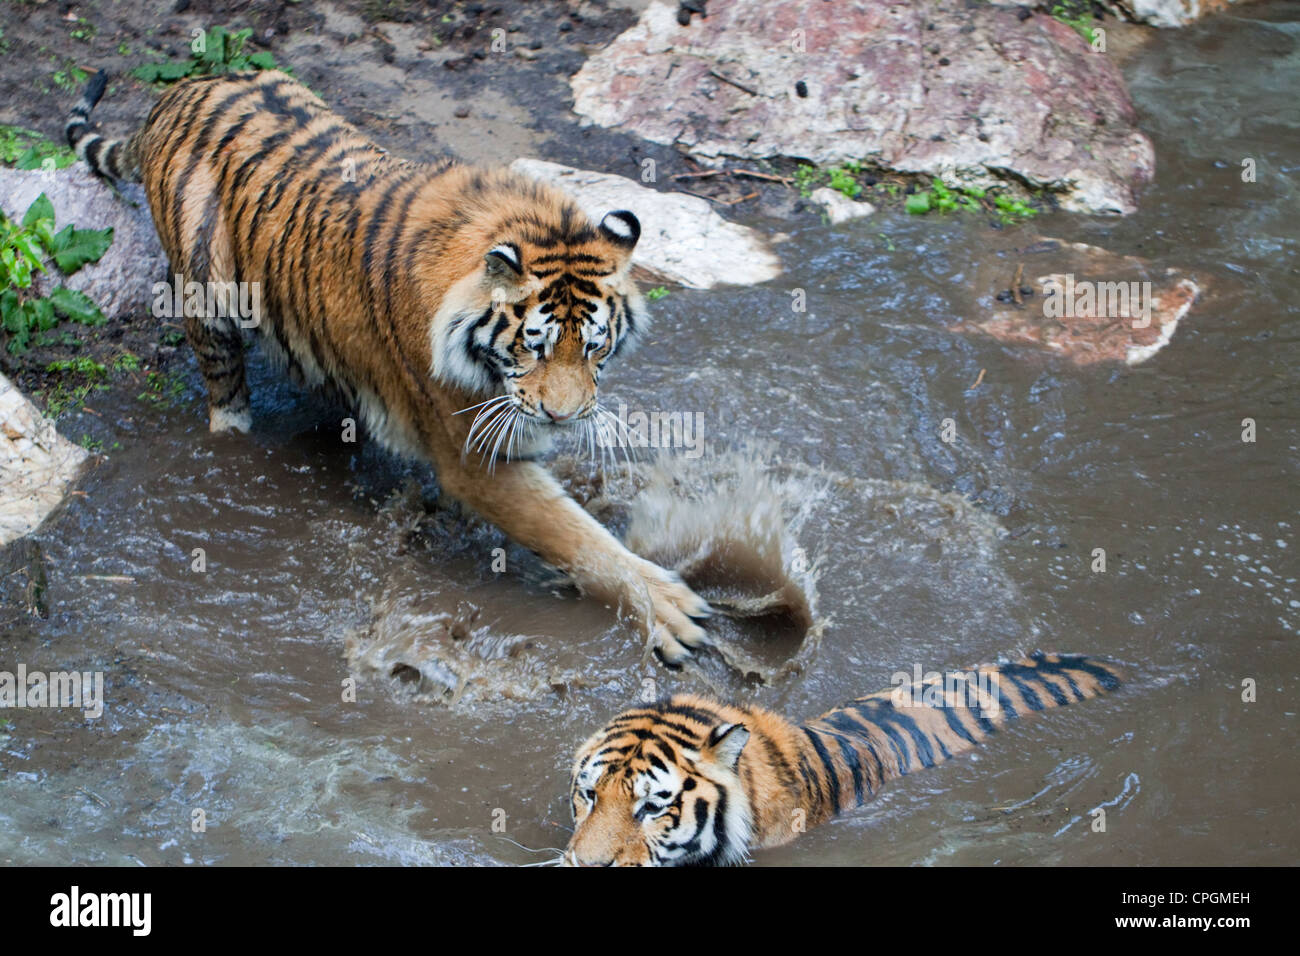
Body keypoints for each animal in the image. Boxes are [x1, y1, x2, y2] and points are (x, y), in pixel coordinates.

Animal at [64, 69, 711, 664]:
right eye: (534, 346)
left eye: (596, 346)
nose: (565, 417)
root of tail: (178, 93)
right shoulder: (474, 454)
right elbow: (573, 533)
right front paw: (667, 607)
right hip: (206, 296)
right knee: (225, 395)